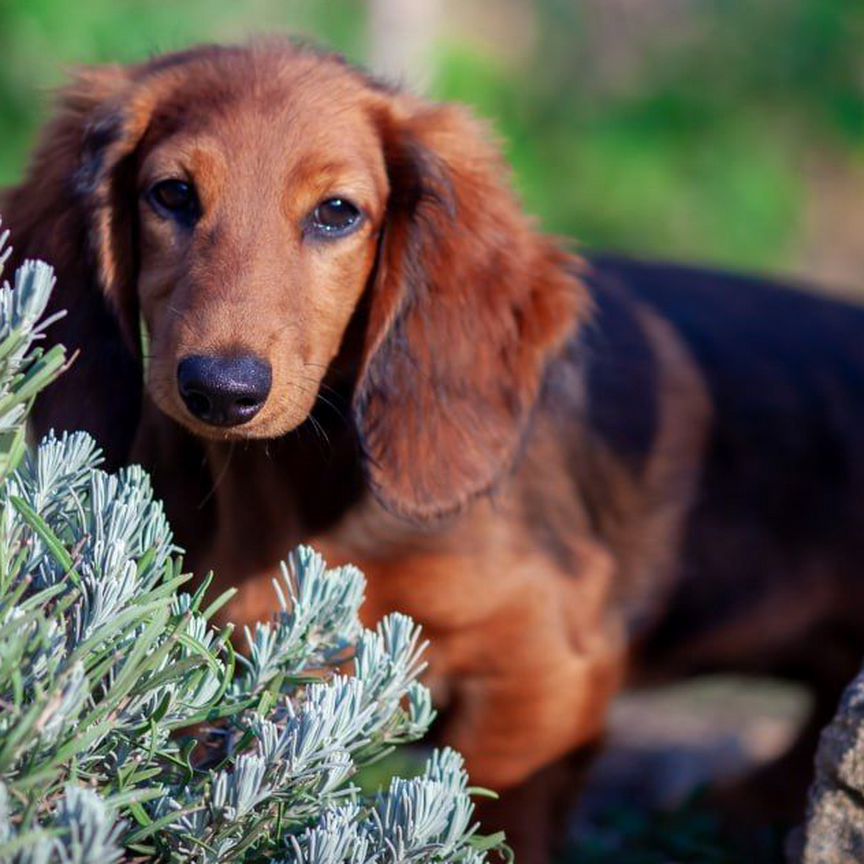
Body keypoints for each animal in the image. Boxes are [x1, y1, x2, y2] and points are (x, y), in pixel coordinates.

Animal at [5, 38, 864, 856]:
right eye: (173, 194)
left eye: (338, 212)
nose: (221, 389)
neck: (292, 495)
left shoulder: (547, 663)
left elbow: (492, 811)